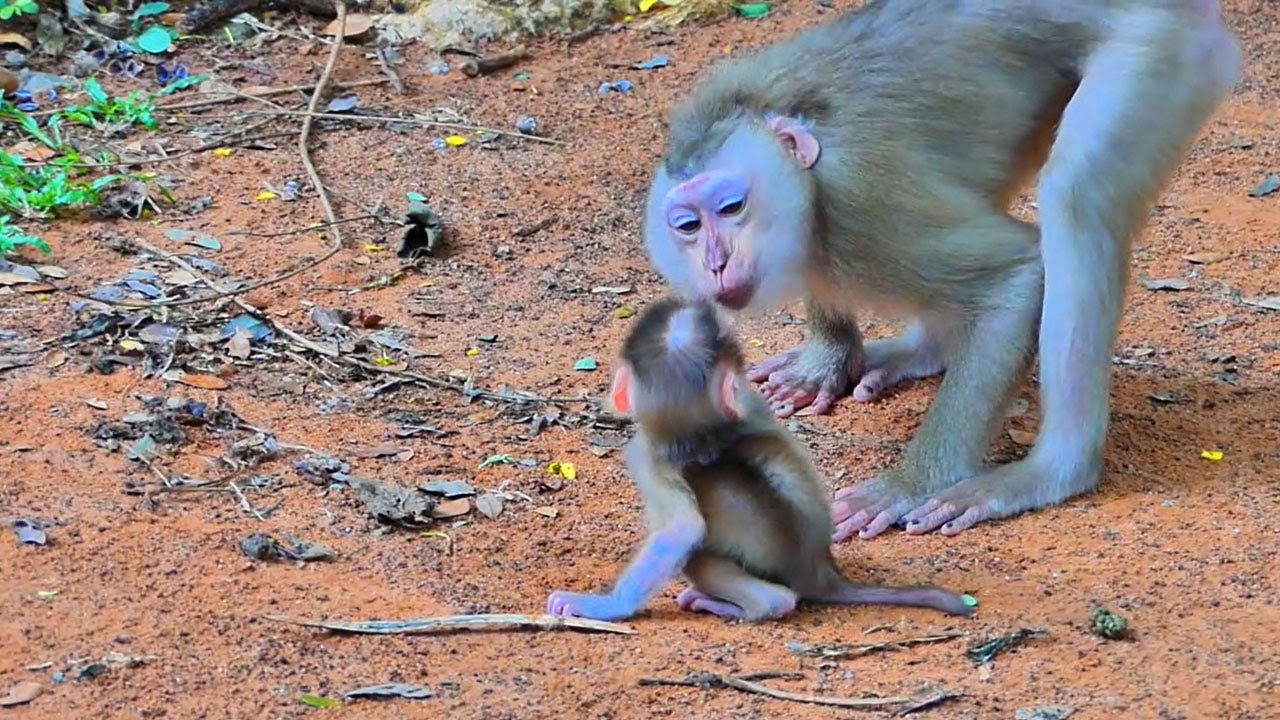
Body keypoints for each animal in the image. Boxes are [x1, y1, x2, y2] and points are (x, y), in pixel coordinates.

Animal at [545, 297, 975, 622]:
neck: (700, 432)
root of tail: (821, 573)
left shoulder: (645, 456)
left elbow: (681, 531)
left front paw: (602, 607)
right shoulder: (748, 397)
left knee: (730, 573)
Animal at [641, 0, 1241, 540]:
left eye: (732, 207)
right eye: (687, 226)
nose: (716, 263)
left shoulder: (860, 197)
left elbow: (1017, 274)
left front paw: (912, 484)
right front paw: (827, 358)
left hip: (1163, 48)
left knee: (1077, 197)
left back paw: (1054, 471)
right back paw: (927, 348)